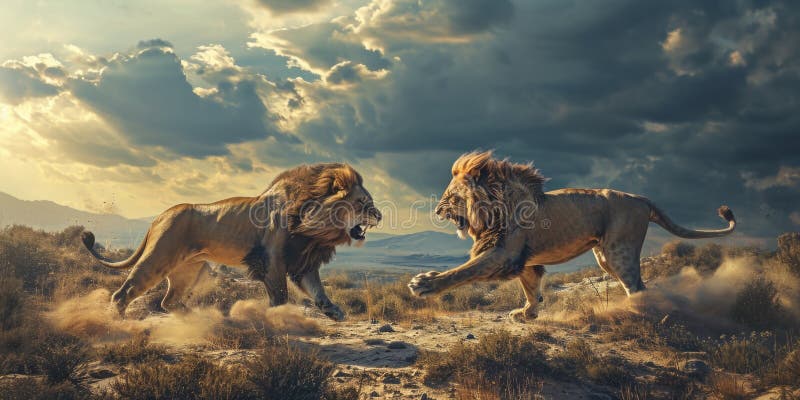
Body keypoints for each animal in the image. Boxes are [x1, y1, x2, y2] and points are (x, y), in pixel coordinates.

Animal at [82, 163, 381, 321]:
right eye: (363, 203)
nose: (380, 215)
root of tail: (160, 215)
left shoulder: (302, 261)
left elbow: (318, 290)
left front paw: (334, 311)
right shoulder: (272, 258)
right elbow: (280, 294)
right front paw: (279, 317)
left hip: (189, 270)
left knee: (168, 302)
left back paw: (199, 317)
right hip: (157, 258)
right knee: (123, 293)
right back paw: (118, 322)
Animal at [408, 151, 735, 322]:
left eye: (449, 197)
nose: (436, 210)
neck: (493, 205)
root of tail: (642, 198)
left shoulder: (503, 254)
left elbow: (463, 271)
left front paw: (424, 283)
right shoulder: (525, 260)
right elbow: (531, 288)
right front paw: (527, 313)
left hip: (618, 252)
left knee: (637, 287)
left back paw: (634, 312)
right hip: (604, 256)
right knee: (638, 284)